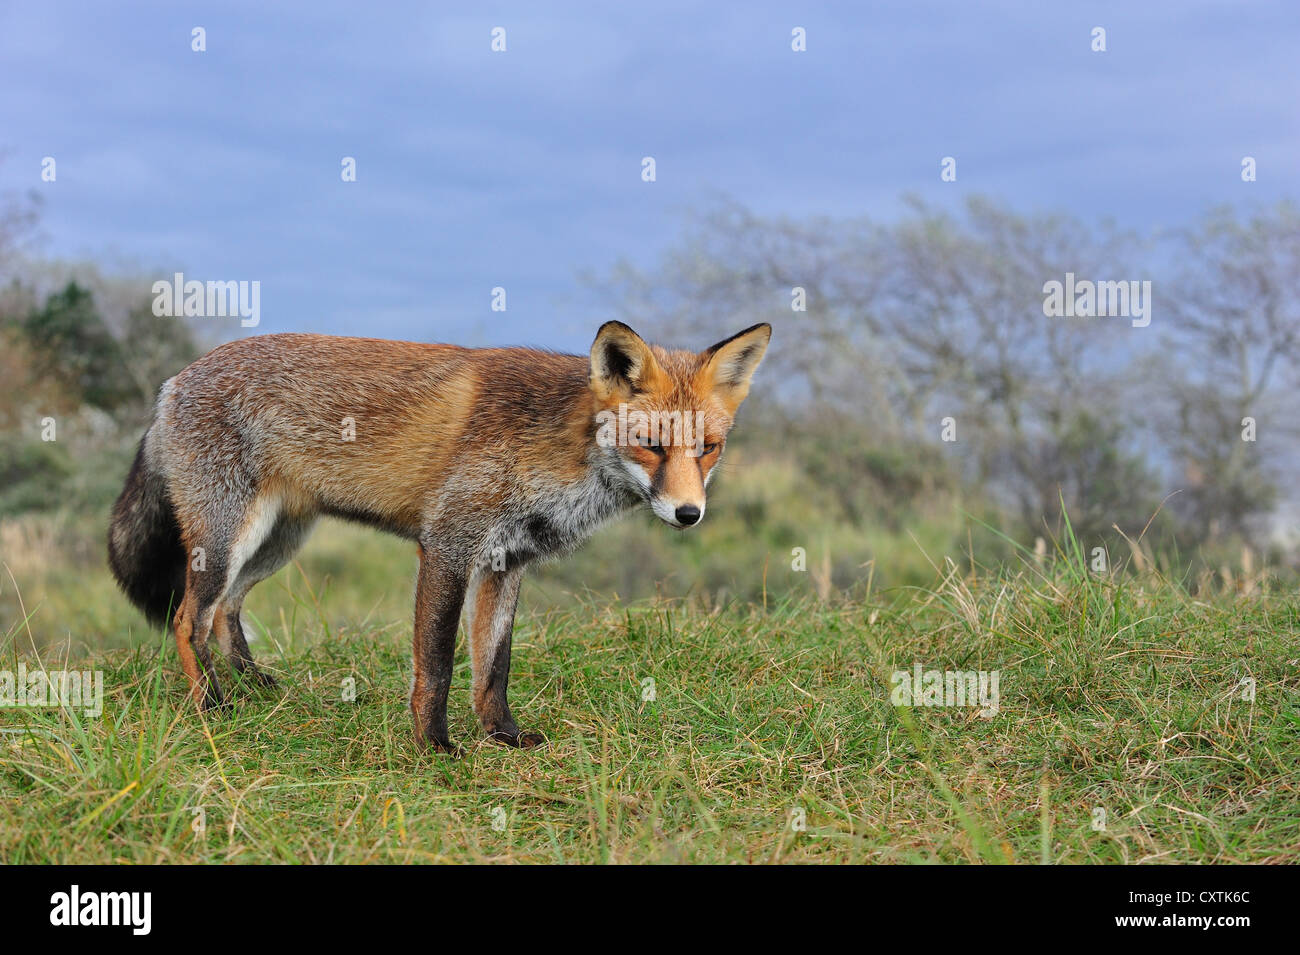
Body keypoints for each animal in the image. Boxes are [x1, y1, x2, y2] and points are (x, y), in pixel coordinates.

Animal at [108, 321, 770, 753]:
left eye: (708, 448)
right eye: (651, 445)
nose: (688, 513)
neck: (560, 448)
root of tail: (172, 382)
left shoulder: (508, 560)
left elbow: (493, 666)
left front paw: (503, 736)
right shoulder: (448, 544)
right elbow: (438, 664)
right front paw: (434, 747)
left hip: (276, 540)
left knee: (226, 609)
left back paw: (251, 686)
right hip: (226, 536)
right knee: (188, 617)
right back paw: (212, 708)